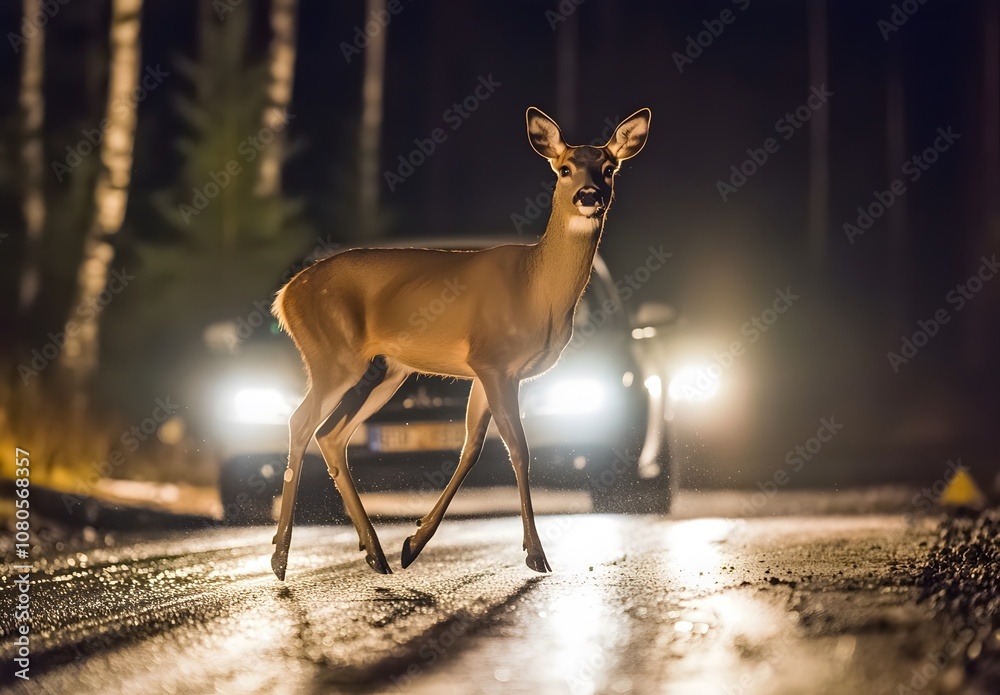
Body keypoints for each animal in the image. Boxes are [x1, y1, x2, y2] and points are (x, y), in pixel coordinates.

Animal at [269, 106, 651, 580]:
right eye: (564, 168)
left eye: (609, 168)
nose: (589, 195)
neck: (535, 286)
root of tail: (285, 295)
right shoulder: (494, 362)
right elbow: (519, 448)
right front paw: (536, 554)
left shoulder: (483, 371)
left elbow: (471, 448)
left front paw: (413, 543)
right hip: (333, 356)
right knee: (301, 423)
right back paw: (281, 558)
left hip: (384, 369)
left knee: (331, 434)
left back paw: (376, 554)